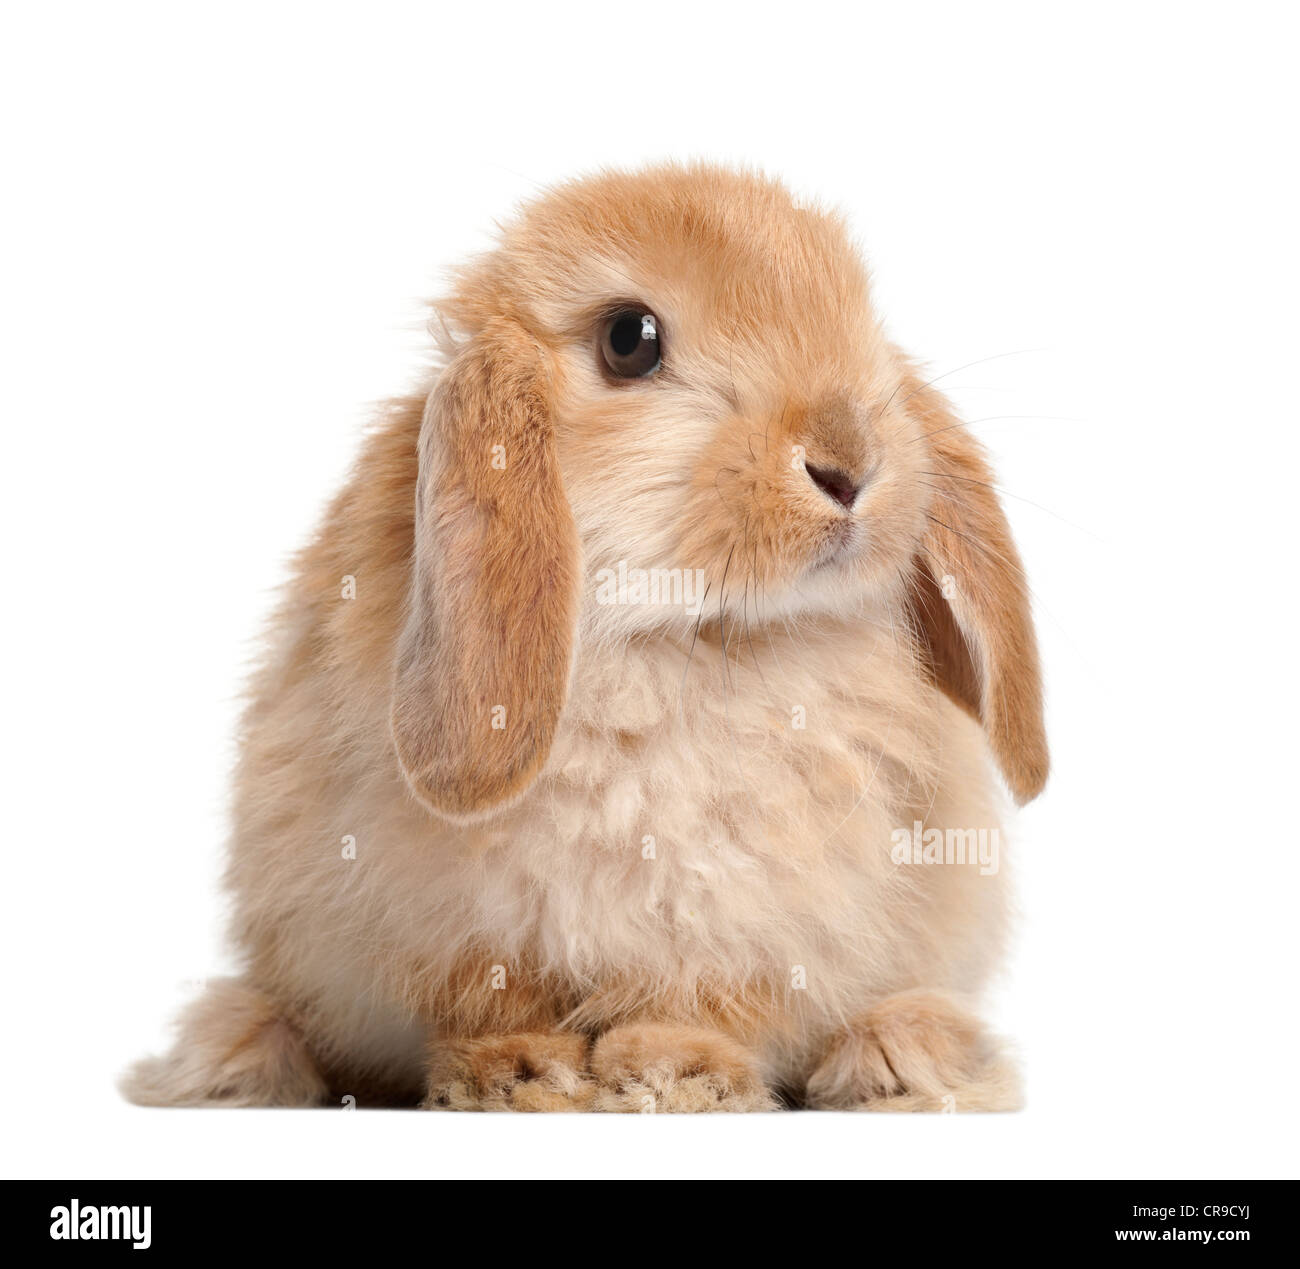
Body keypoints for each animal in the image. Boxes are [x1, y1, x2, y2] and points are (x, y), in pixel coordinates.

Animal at [124, 163, 1047, 1113]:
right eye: (629, 341)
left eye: (861, 318)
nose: (850, 463)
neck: (677, 639)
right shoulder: (460, 923)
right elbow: (494, 998)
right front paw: (520, 1073)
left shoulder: (756, 910)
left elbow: (710, 995)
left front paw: (676, 1071)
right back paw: (233, 1051)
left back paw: (902, 1052)